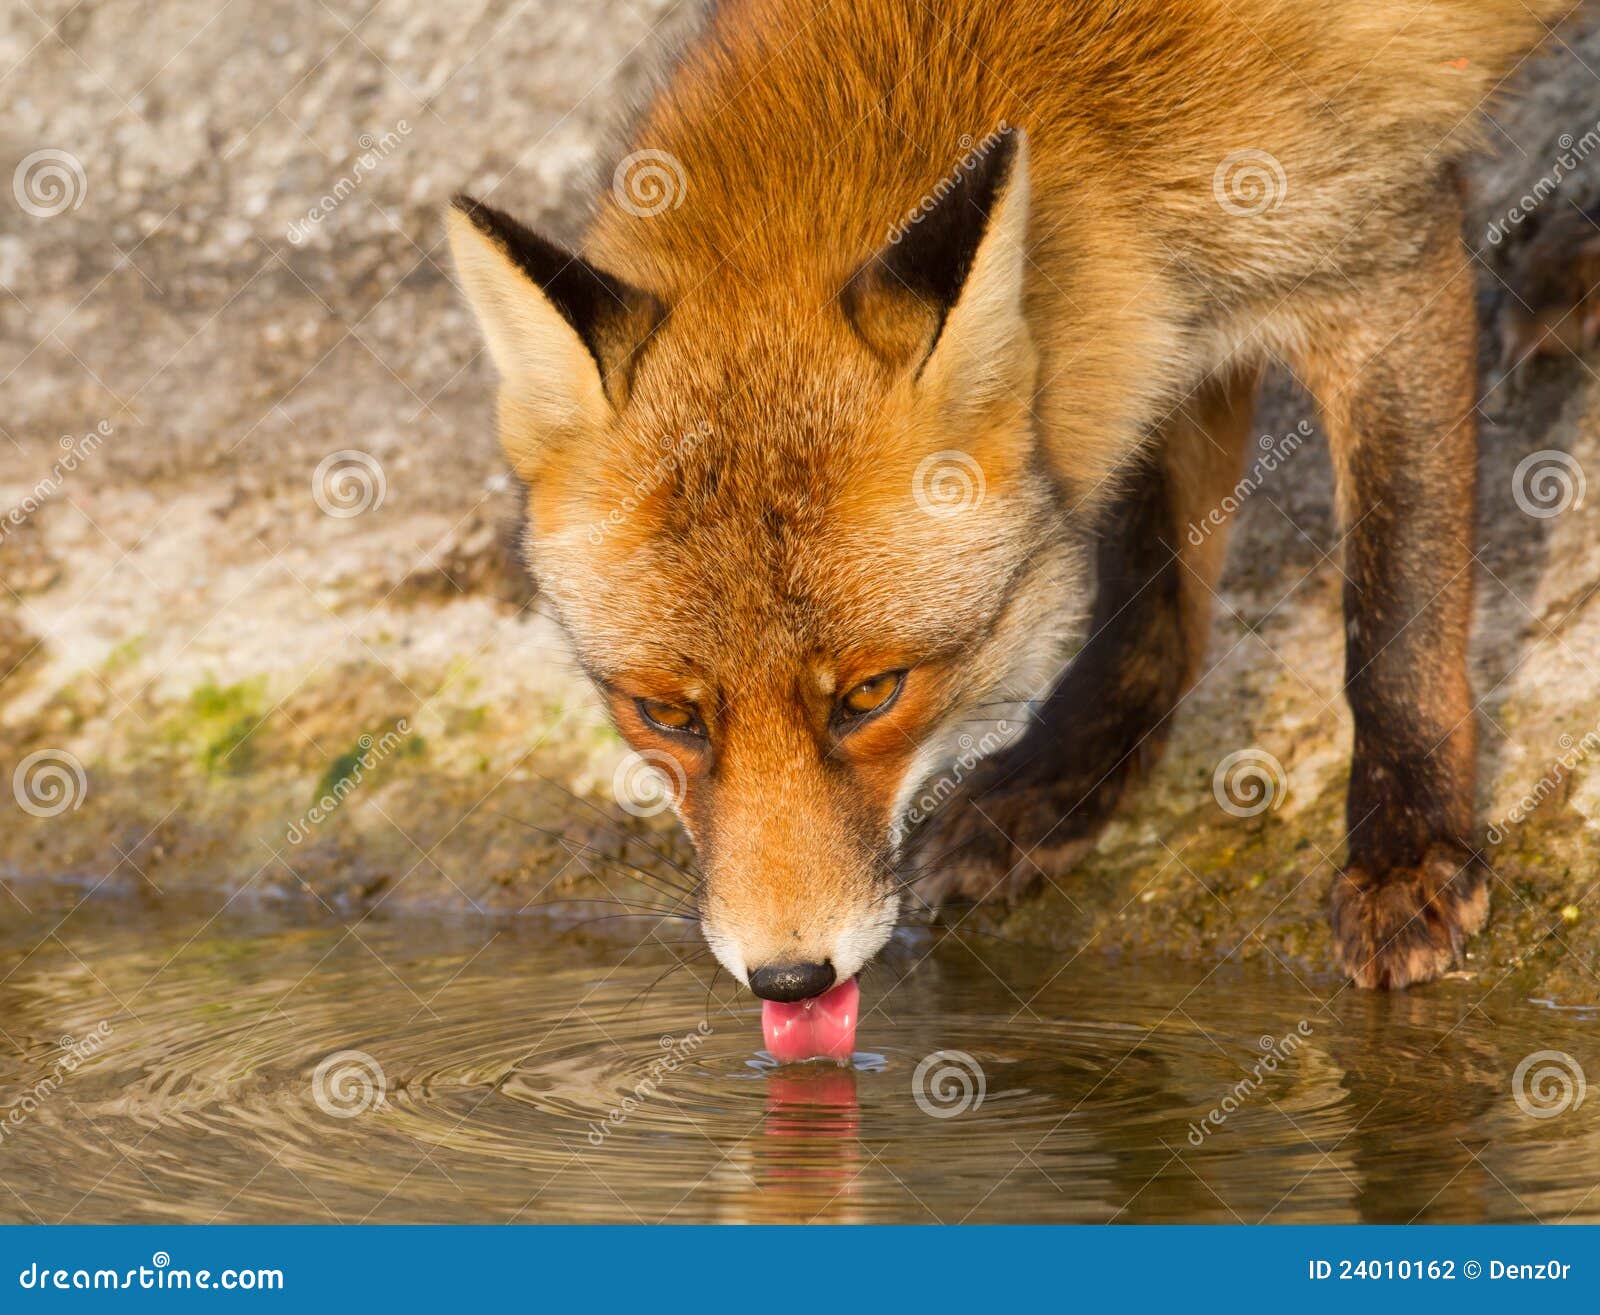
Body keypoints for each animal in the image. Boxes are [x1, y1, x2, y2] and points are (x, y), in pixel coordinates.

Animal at [447, 0, 1576, 1005]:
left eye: (873, 694)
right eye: (667, 716)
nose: (787, 979)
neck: (1099, 104)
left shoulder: (1379, 256)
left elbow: (1395, 603)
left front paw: (1410, 848)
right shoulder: (1157, 328)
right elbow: (1146, 578)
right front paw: (1059, 779)